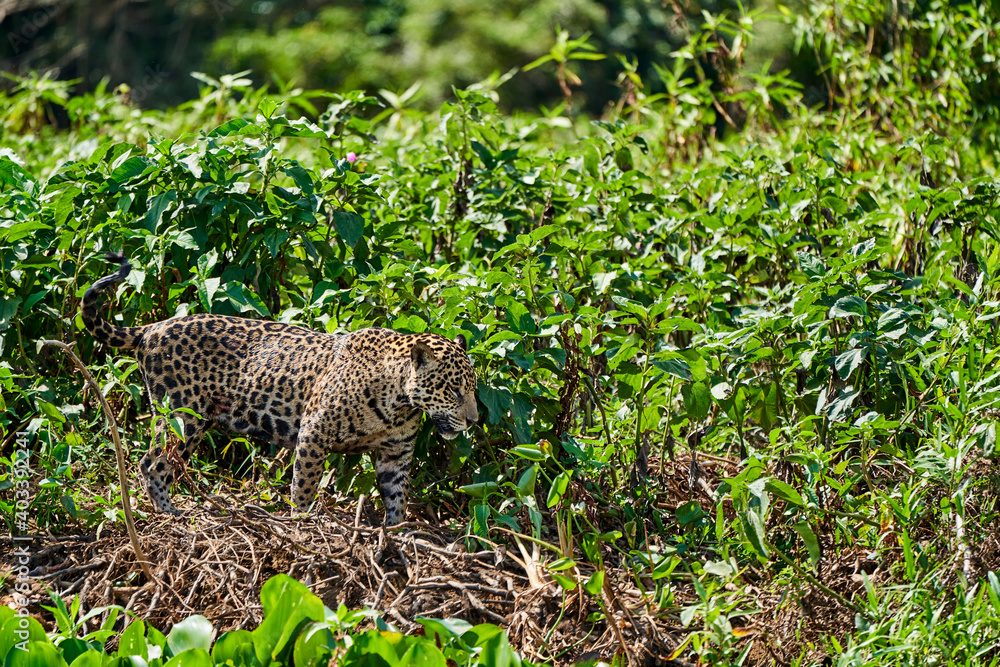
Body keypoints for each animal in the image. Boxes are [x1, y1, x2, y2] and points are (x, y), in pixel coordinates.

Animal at [81, 253, 478, 525]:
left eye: (473, 389)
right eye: (454, 390)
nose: (473, 421)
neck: (399, 402)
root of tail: (151, 328)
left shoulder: (396, 452)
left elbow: (397, 496)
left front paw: (396, 531)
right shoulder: (314, 431)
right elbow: (305, 482)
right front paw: (300, 520)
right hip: (181, 413)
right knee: (152, 463)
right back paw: (171, 515)